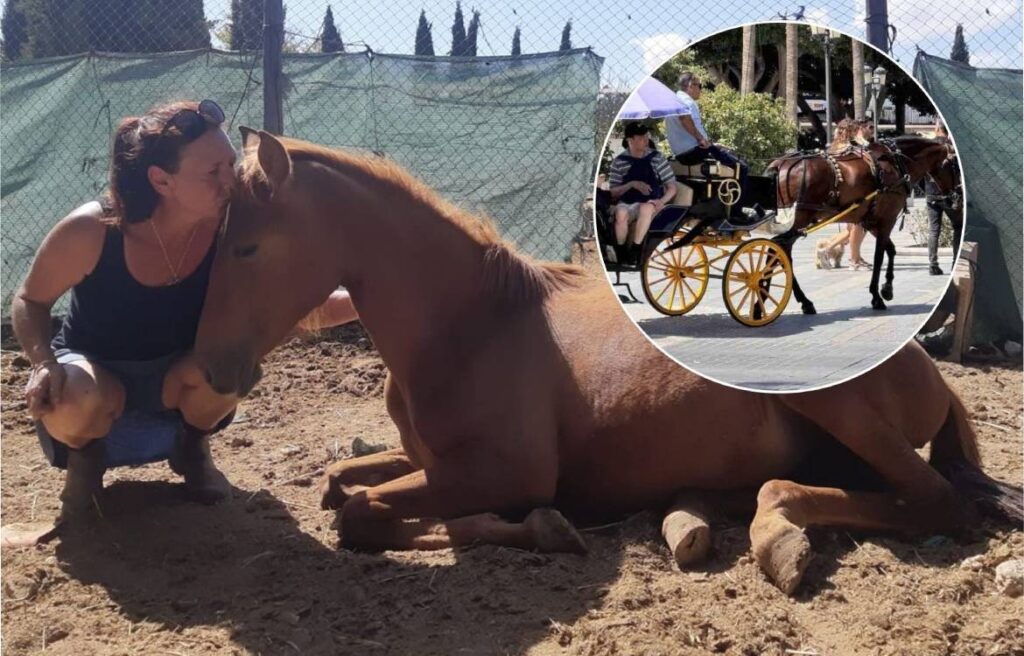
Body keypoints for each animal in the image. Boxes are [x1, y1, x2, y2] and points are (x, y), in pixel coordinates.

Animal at [768, 137, 954, 311]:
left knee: (777, 250)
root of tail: (779, 165)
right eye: (953, 165)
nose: (955, 196)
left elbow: (891, 250)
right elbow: (879, 257)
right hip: (798, 219)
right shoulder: (887, 220)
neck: (895, 163)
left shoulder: (871, 222)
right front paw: (877, 296)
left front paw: (887, 289)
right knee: (777, 250)